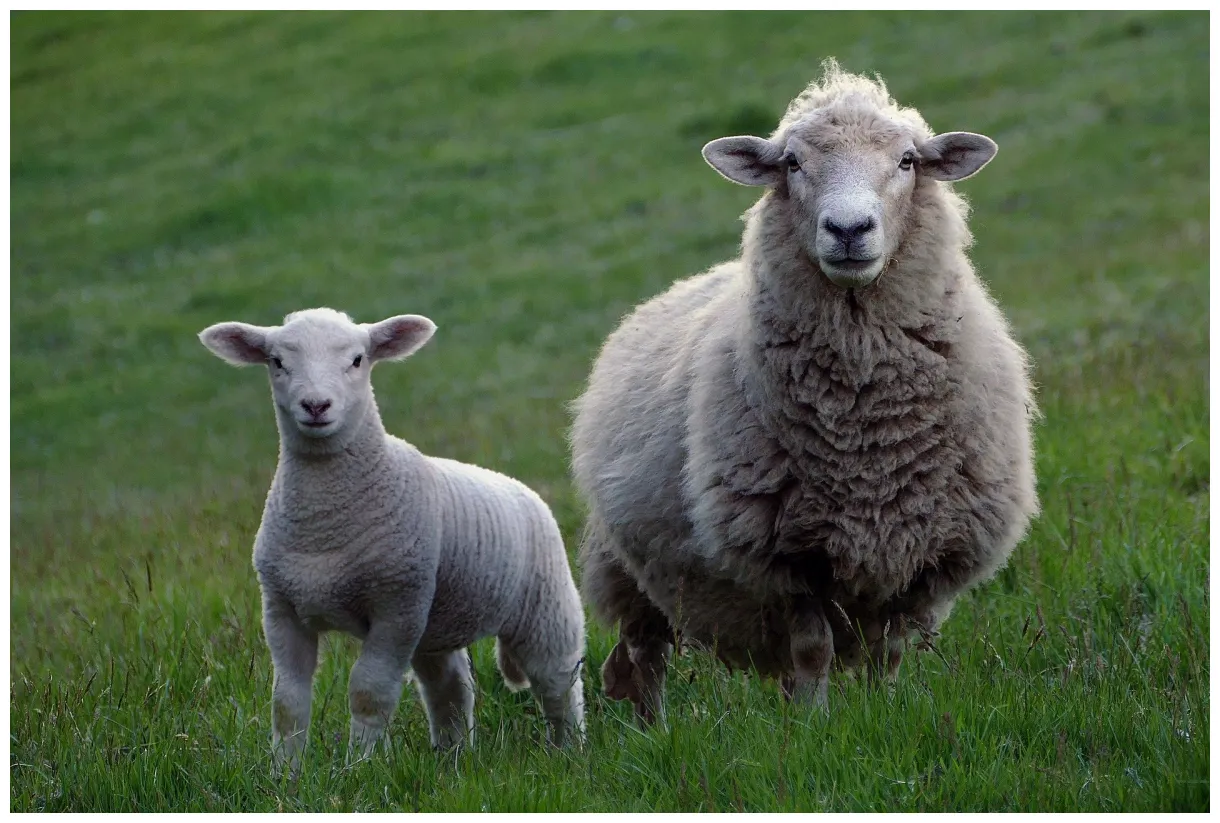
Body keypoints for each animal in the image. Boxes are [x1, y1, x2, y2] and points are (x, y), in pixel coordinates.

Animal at [199, 307, 585, 774]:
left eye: (357, 360)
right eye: (276, 362)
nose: (316, 406)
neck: (323, 525)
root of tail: (521, 488)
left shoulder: (395, 606)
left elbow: (369, 691)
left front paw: (358, 767)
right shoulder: (281, 609)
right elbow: (287, 701)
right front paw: (284, 773)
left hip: (544, 606)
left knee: (559, 681)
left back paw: (568, 752)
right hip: (435, 622)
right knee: (450, 689)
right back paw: (452, 758)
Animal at [570, 59, 1038, 725]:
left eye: (907, 161)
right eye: (792, 163)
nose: (848, 229)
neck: (867, 426)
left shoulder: (921, 553)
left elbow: (888, 653)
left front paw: (881, 714)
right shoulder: (788, 556)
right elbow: (814, 649)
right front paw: (815, 728)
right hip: (628, 569)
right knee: (646, 656)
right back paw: (655, 731)